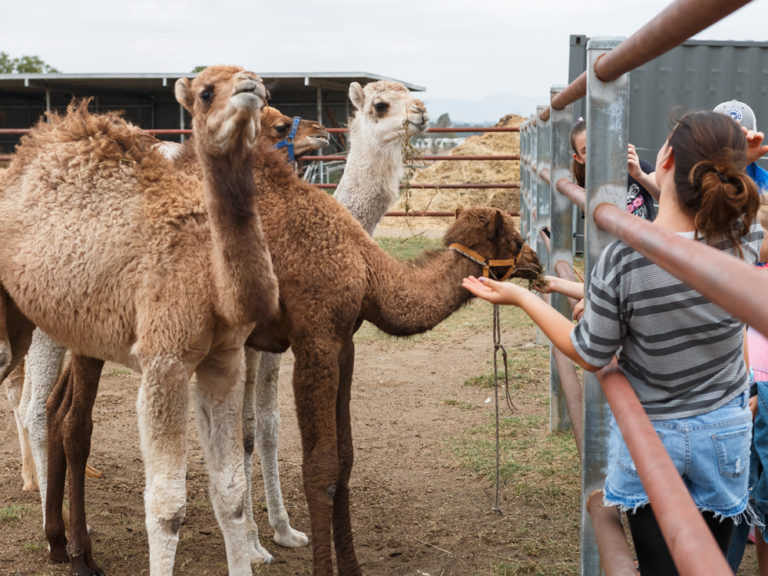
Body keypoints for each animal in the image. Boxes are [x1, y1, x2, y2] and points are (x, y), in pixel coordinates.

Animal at [0, 65, 280, 576]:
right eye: (206, 91)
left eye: (266, 90)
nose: (250, 86)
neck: (210, 278)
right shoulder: (164, 361)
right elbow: (167, 507)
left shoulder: (224, 360)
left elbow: (229, 493)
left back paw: (60, 543)